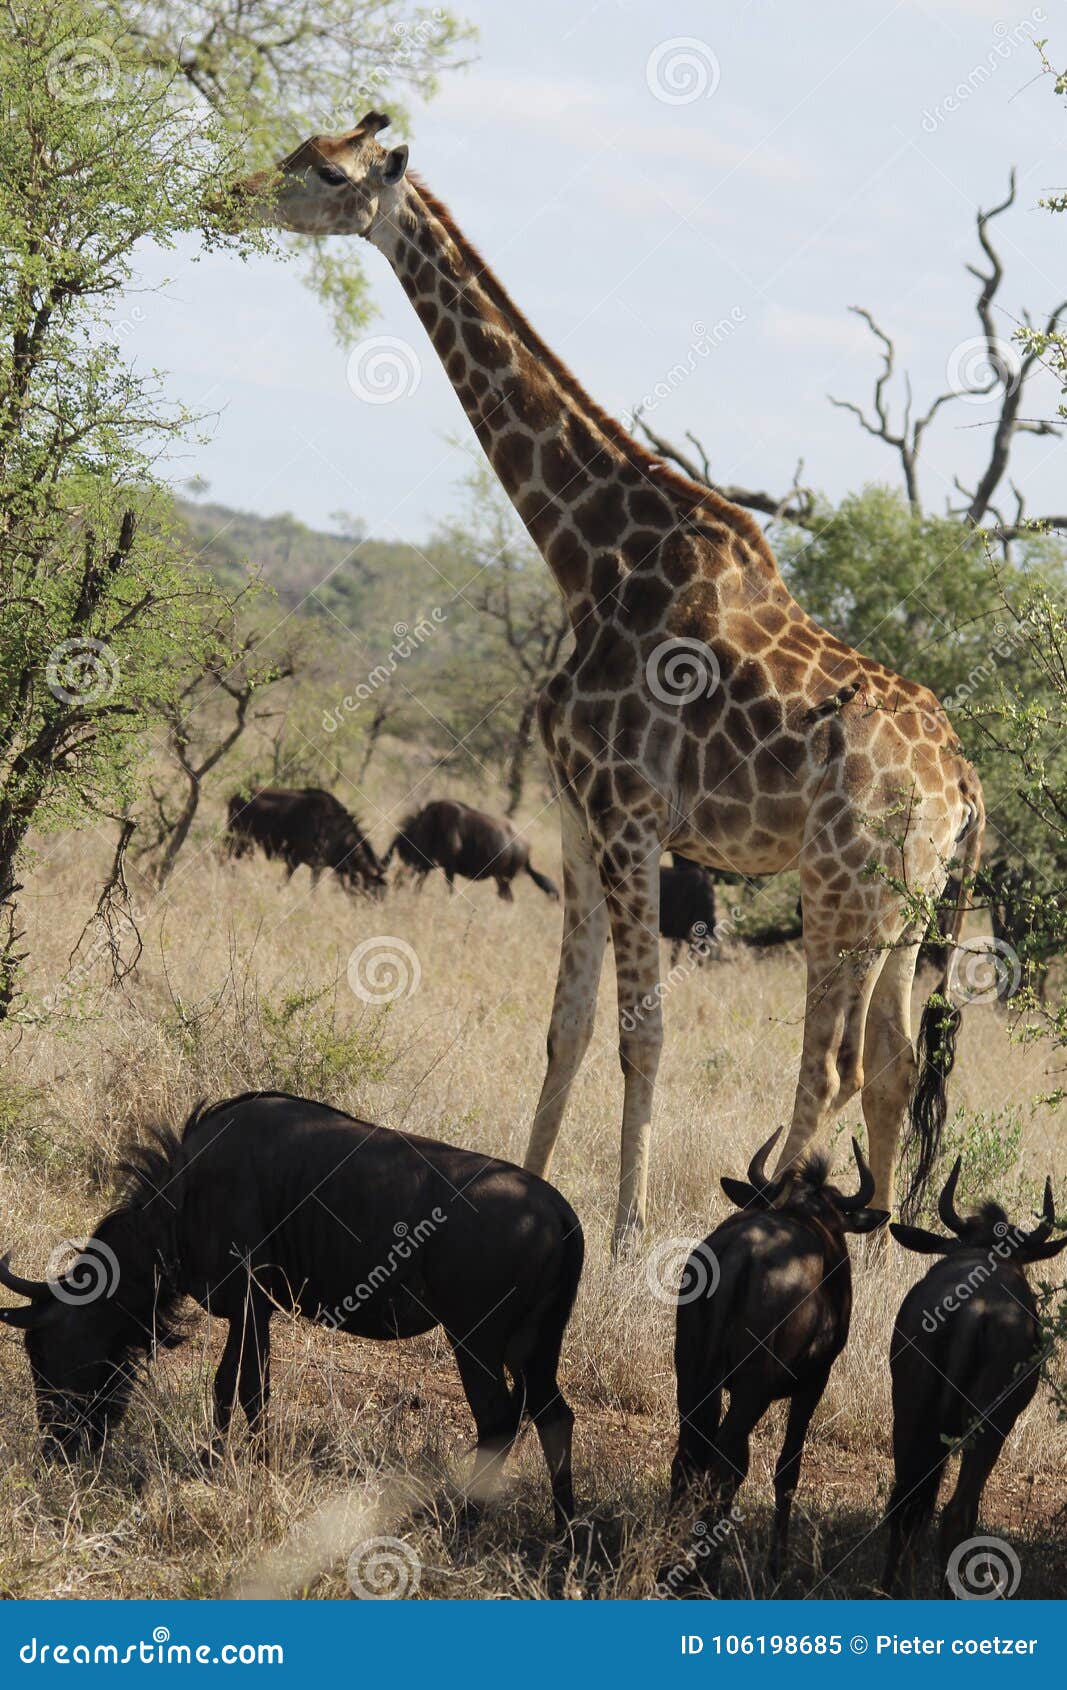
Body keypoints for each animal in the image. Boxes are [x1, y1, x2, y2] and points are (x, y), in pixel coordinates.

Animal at [229, 114, 985, 1248]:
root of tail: (965, 785)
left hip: (841, 884)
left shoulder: (630, 813)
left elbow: (644, 1030)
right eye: (294, 148)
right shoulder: (573, 812)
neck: (585, 552)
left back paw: (774, 1225)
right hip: (907, 897)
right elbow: (568, 1024)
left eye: (323, 171)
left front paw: (625, 1237)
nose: (233, 195)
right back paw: (880, 1255)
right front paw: (523, 1184)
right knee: (893, 1065)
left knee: (836, 1065)